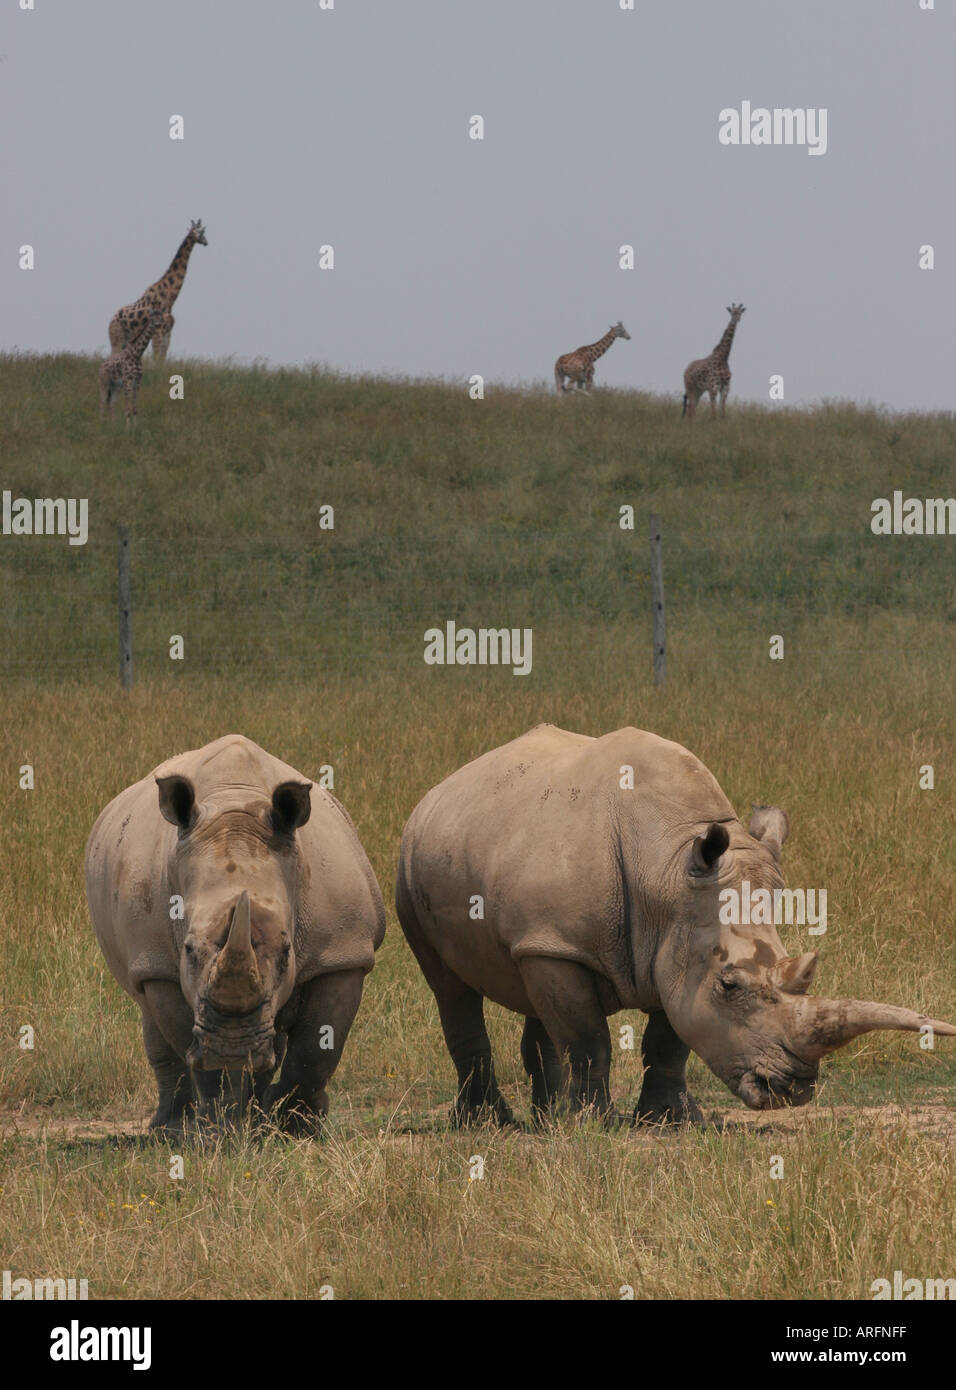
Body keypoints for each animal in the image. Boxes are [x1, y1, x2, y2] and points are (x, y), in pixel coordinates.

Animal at [86, 735, 385, 1133]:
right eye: (188, 950)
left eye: (287, 951)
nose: (232, 1045)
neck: (234, 803)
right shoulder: (160, 963)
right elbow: (190, 1046)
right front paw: (220, 1129)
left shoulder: (340, 953)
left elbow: (316, 1048)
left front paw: (296, 1128)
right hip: (144, 955)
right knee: (148, 1010)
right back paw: (172, 1130)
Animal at [108, 220, 208, 364]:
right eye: (202, 232)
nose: (206, 242)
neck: (169, 298)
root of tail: (110, 321)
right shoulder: (158, 331)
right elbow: (156, 358)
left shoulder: (168, 331)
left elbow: (162, 358)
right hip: (117, 336)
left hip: (126, 339)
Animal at [396, 724, 954, 1124]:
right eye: (730, 986)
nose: (792, 1088)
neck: (668, 871)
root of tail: (439, 790)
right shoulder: (586, 939)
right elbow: (587, 1038)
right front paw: (593, 1126)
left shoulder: (677, 938)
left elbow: (668, 1039)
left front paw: (671, 1121)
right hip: (410, 865)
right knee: (451, 988)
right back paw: (490, 1124)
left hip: (522, 901)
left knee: (530, 979)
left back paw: (547, 1118)